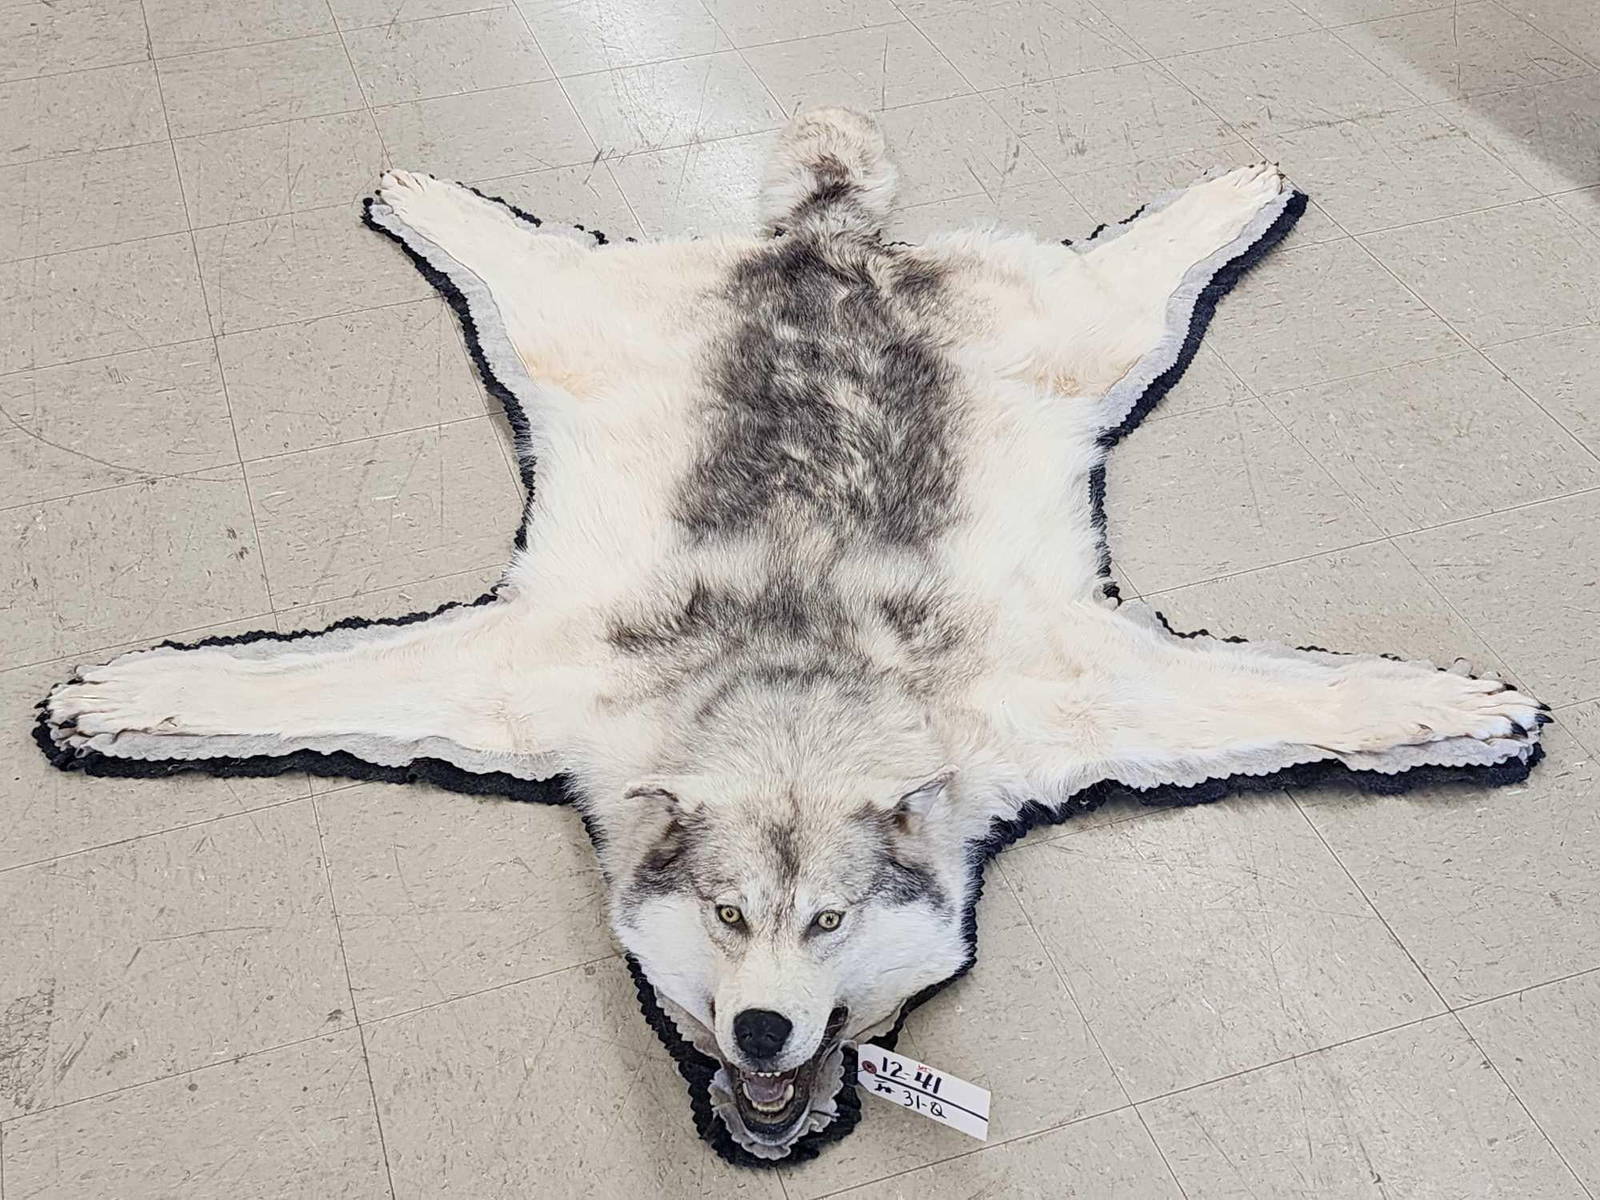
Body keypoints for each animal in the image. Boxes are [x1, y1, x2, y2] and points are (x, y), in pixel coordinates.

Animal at [42, 108, 1543, 1158]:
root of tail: (830, 241)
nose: (763, 1028)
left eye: (828, 922)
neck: (797, 699)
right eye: (724, 918)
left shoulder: (1068, 699)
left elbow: (1331, 700)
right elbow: (277, 686)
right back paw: (425, 197)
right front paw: (119, 701)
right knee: (513, 256)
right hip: (578, 334)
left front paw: (1468, 711)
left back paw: (1239, 191)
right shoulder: (526, 683)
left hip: (1091, 339)